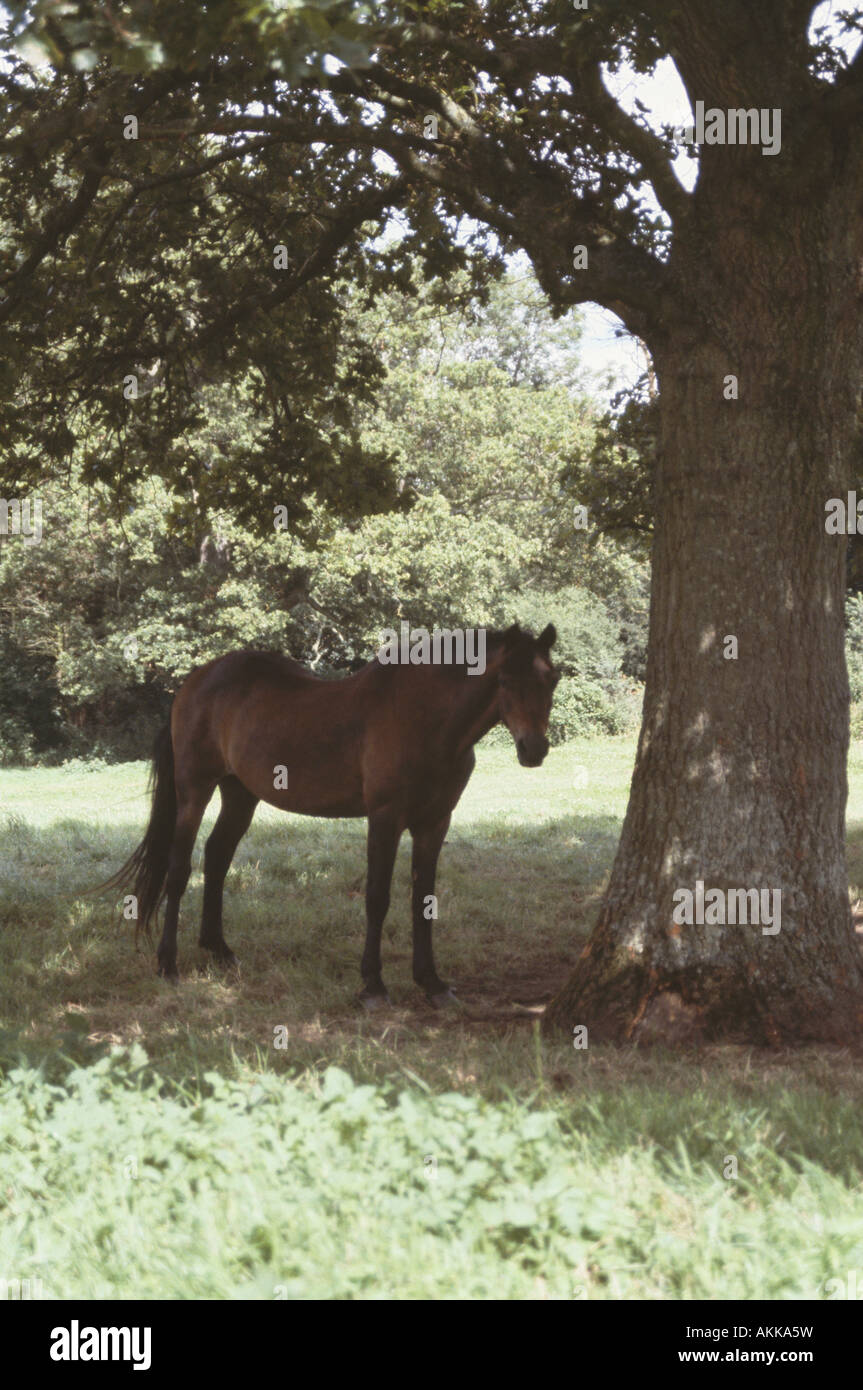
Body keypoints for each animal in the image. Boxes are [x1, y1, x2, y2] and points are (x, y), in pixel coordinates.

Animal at [103, 622, 558, 1006]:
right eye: (505, 680)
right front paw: (373, 985)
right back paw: (168, 964)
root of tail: (193, 684)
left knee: (216, 858)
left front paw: (432, 983)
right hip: (194, 791)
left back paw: (219, 951)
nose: (534, 749)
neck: (424, 717)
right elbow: (377, 897)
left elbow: (423, 900)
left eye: (551, 679)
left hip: (240, 795)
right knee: (179, 870)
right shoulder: (385, 818)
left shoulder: (434, 823)